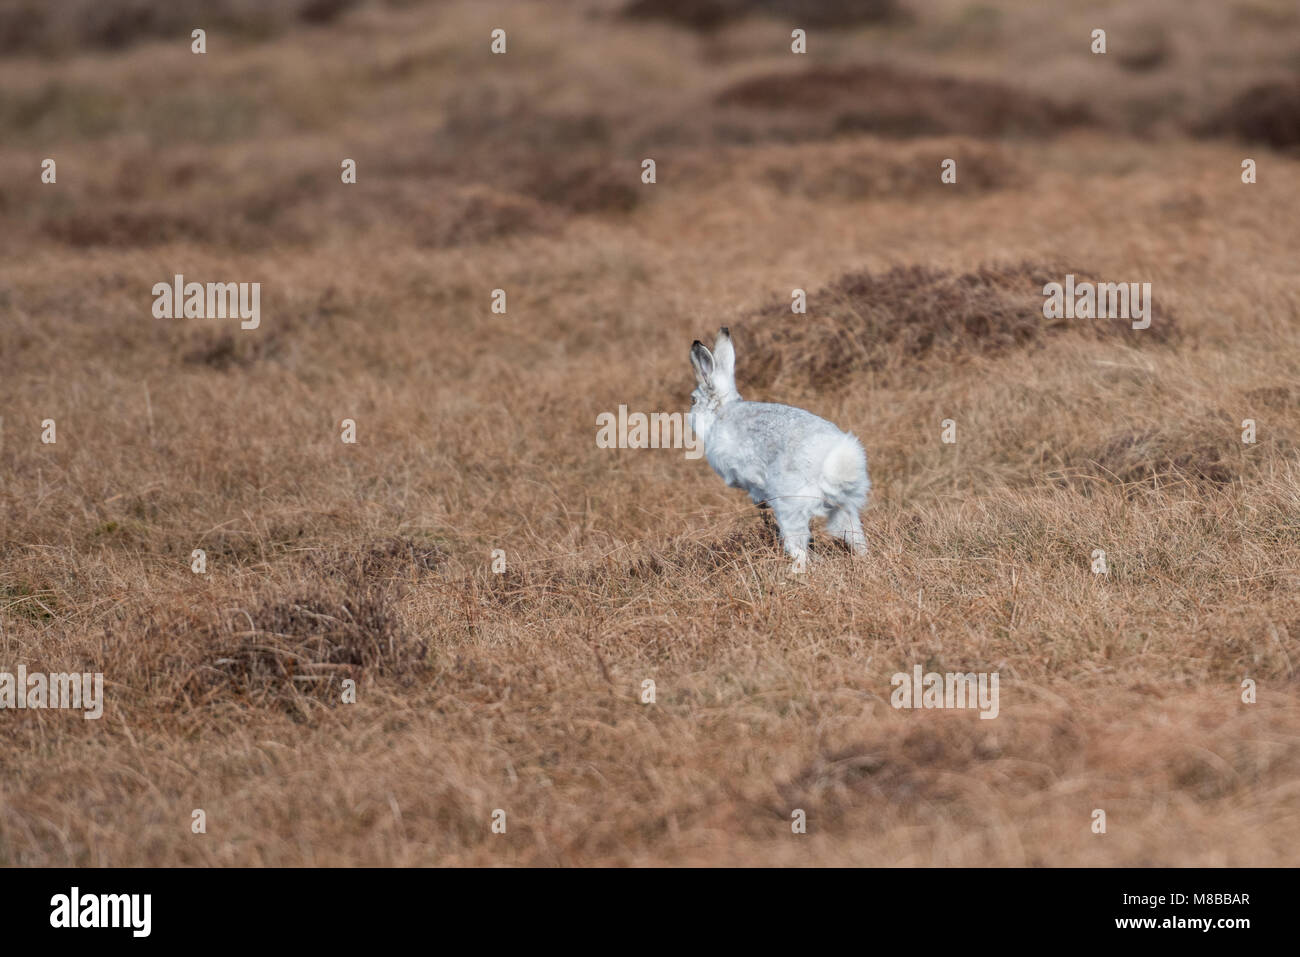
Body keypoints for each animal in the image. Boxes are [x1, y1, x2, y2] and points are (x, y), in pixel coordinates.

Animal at [689, 326, 869, 565]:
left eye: (692, 400)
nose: (689, 417)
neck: (722, 410)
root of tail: (835, 464)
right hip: (844, 507)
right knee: (854, 535)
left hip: (790, 506)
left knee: (798, 546)